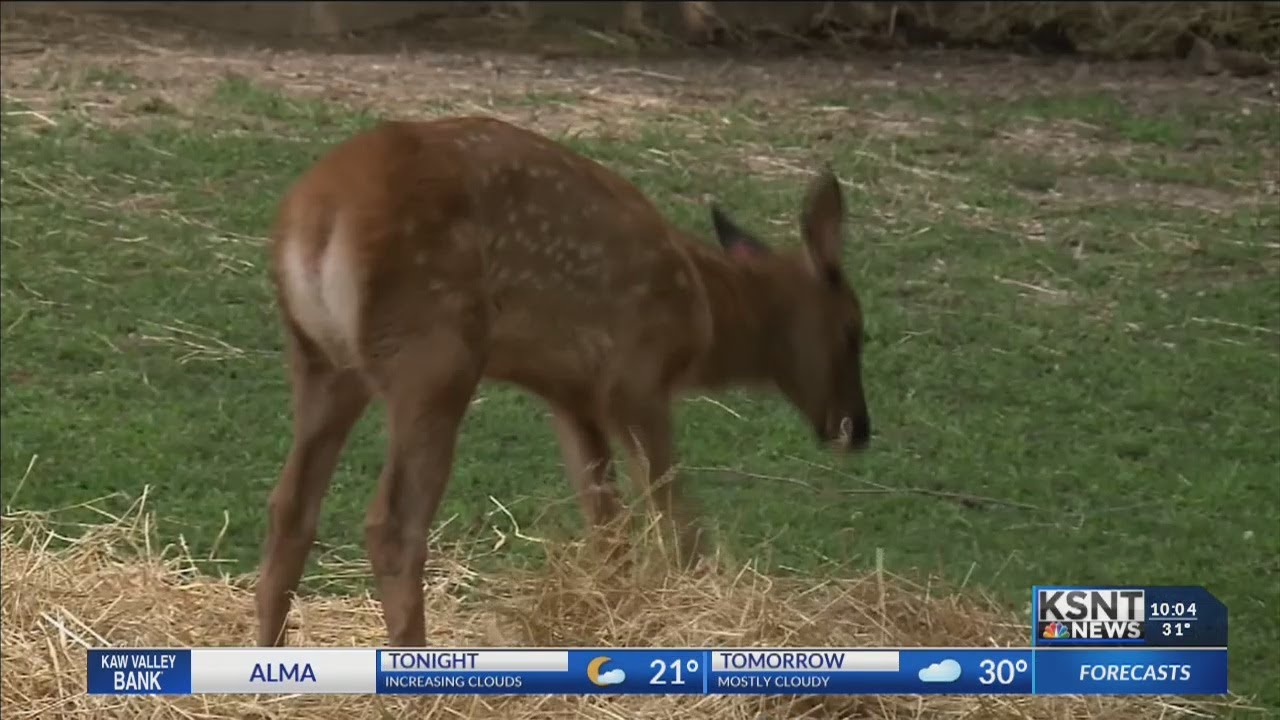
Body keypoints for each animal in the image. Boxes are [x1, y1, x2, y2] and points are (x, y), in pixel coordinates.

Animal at [257, 116, 872, 648]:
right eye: (854, 331)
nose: (858, 427)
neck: (708, 314)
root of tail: (317, 217)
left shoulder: (571, 394)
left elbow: (609, 529)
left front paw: (617, 616)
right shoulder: (635, 378)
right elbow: (677, 520)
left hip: (320, 360)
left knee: (290, 505)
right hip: (433, 356)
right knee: (391, 525)